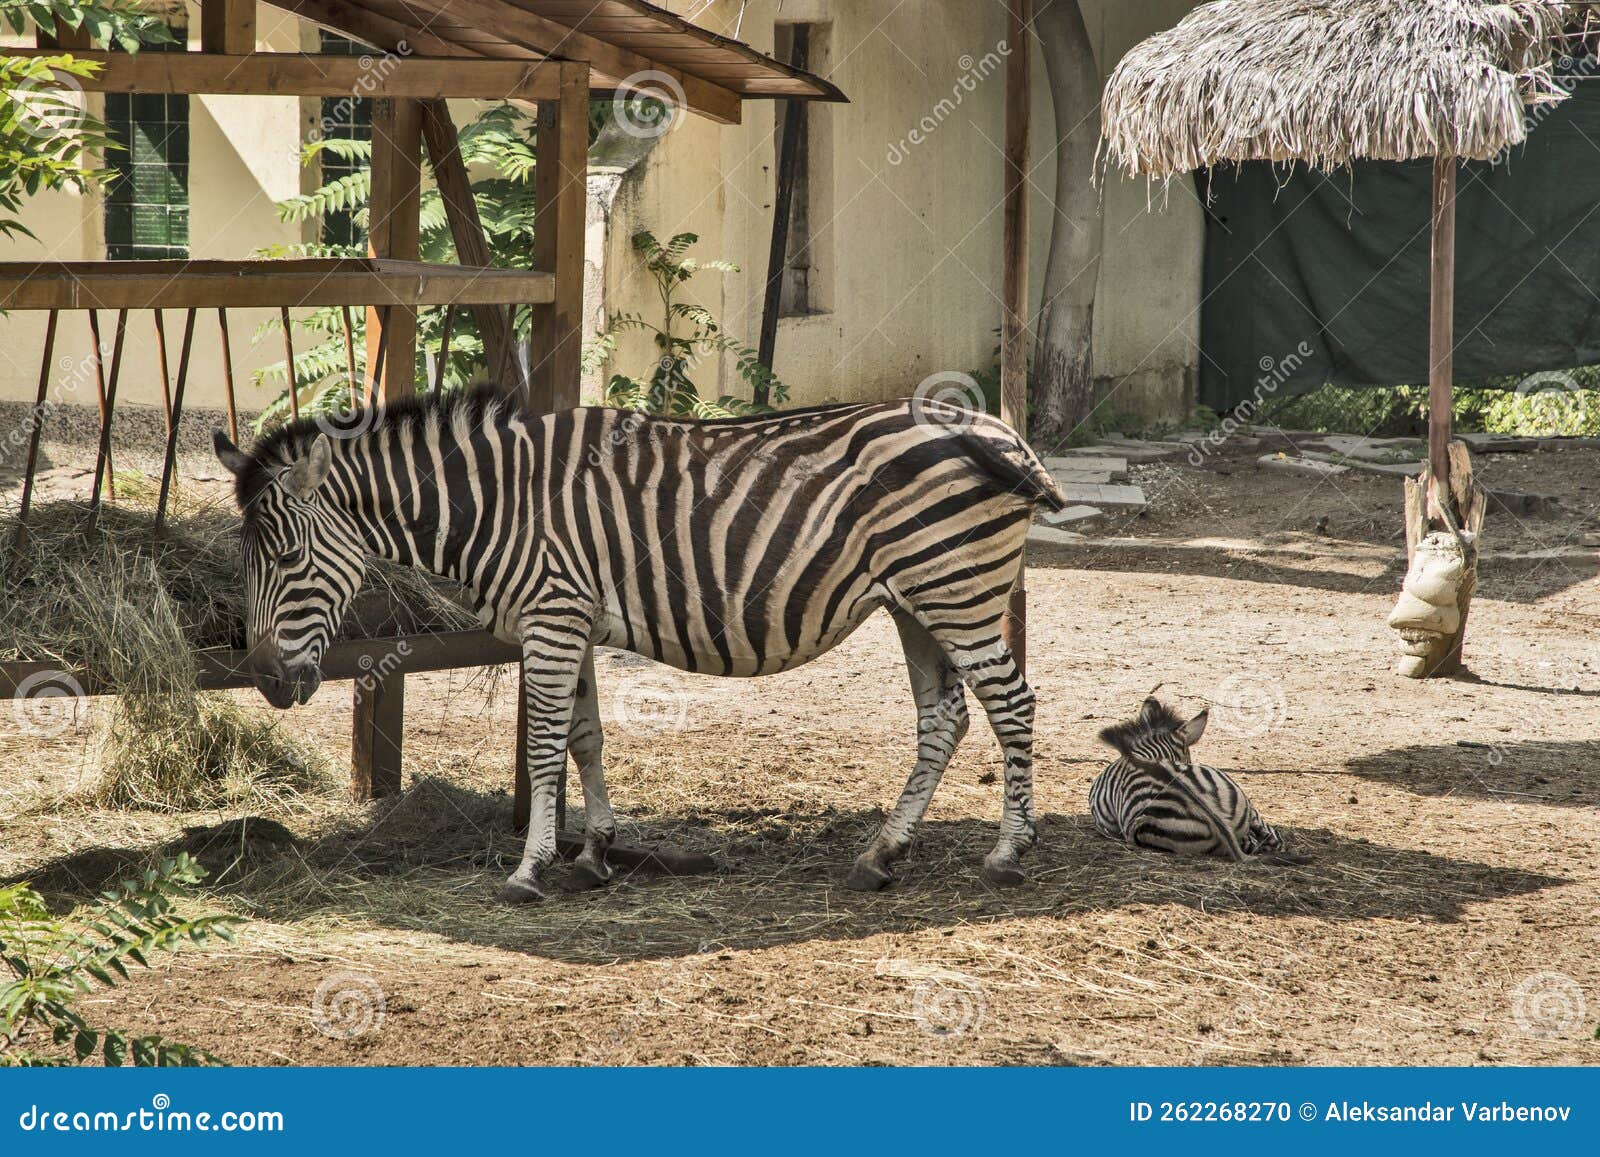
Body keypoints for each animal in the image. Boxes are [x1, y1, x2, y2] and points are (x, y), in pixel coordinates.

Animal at [212, 389, 1067, 902]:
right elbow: (585, 735)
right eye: (246, 556)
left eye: (288, 558)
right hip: (915, 601)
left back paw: (1007, 853)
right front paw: (594, 852)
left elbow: (546, 743)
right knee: (945, 716)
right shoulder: (571, 621)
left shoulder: (553, 618)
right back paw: (882, 853)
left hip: (957, 591)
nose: (265, 680)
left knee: (1013, 704)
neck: (499, 503)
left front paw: (530, 868)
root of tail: (997, 428)